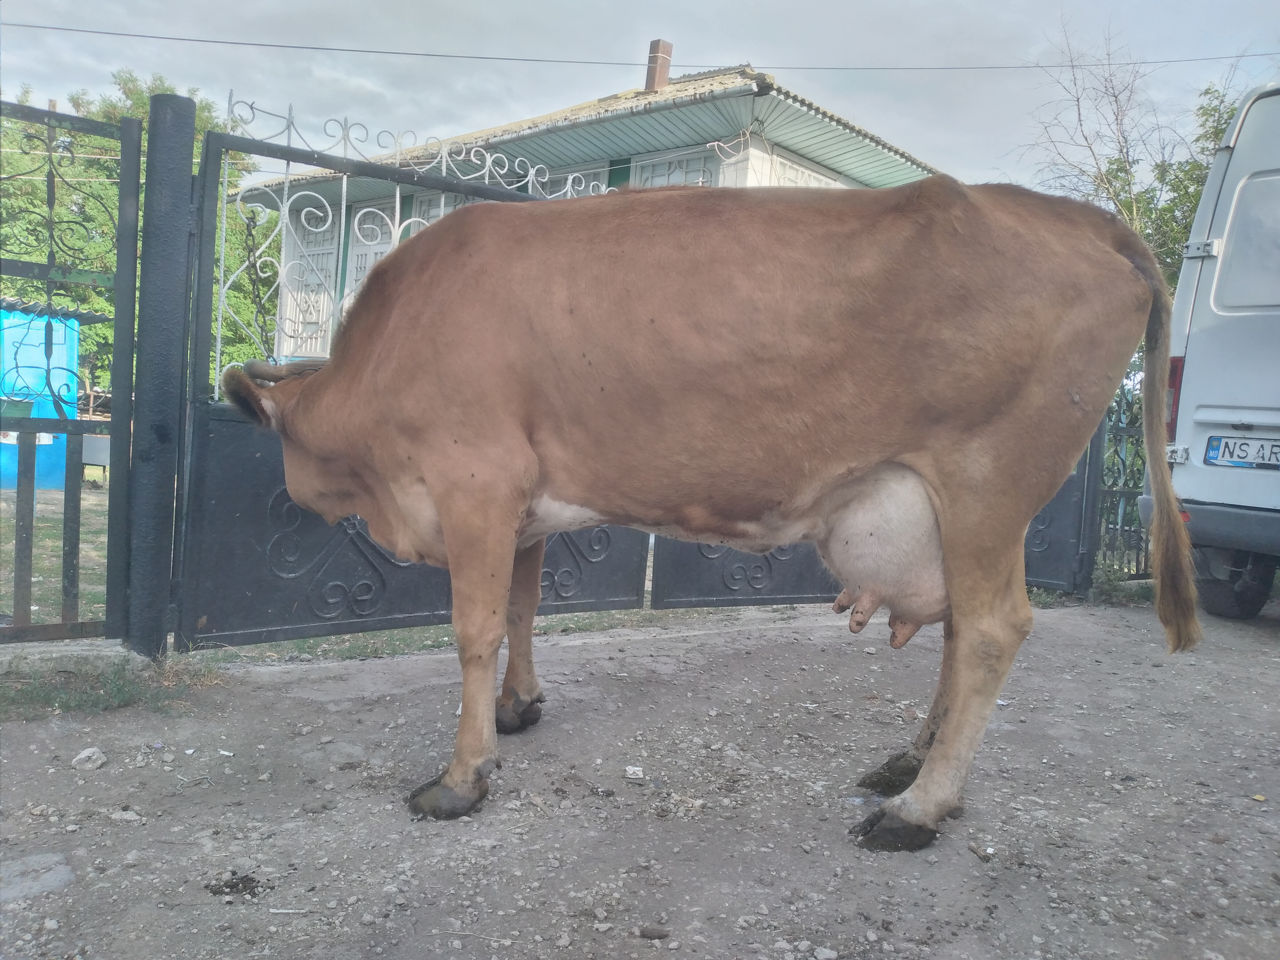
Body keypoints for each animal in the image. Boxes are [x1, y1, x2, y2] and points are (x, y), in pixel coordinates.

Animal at [223, 176, 1200, 851]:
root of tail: (1074, 215)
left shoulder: (475, 480)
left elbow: (472, 630)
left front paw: (463, 775)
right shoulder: (523, 504)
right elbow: (522, 610)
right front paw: (519, 707)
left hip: (985, 481)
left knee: (993, 628)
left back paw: (919, 807)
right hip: (967, 512)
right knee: (962, 627)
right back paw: (911, 762)